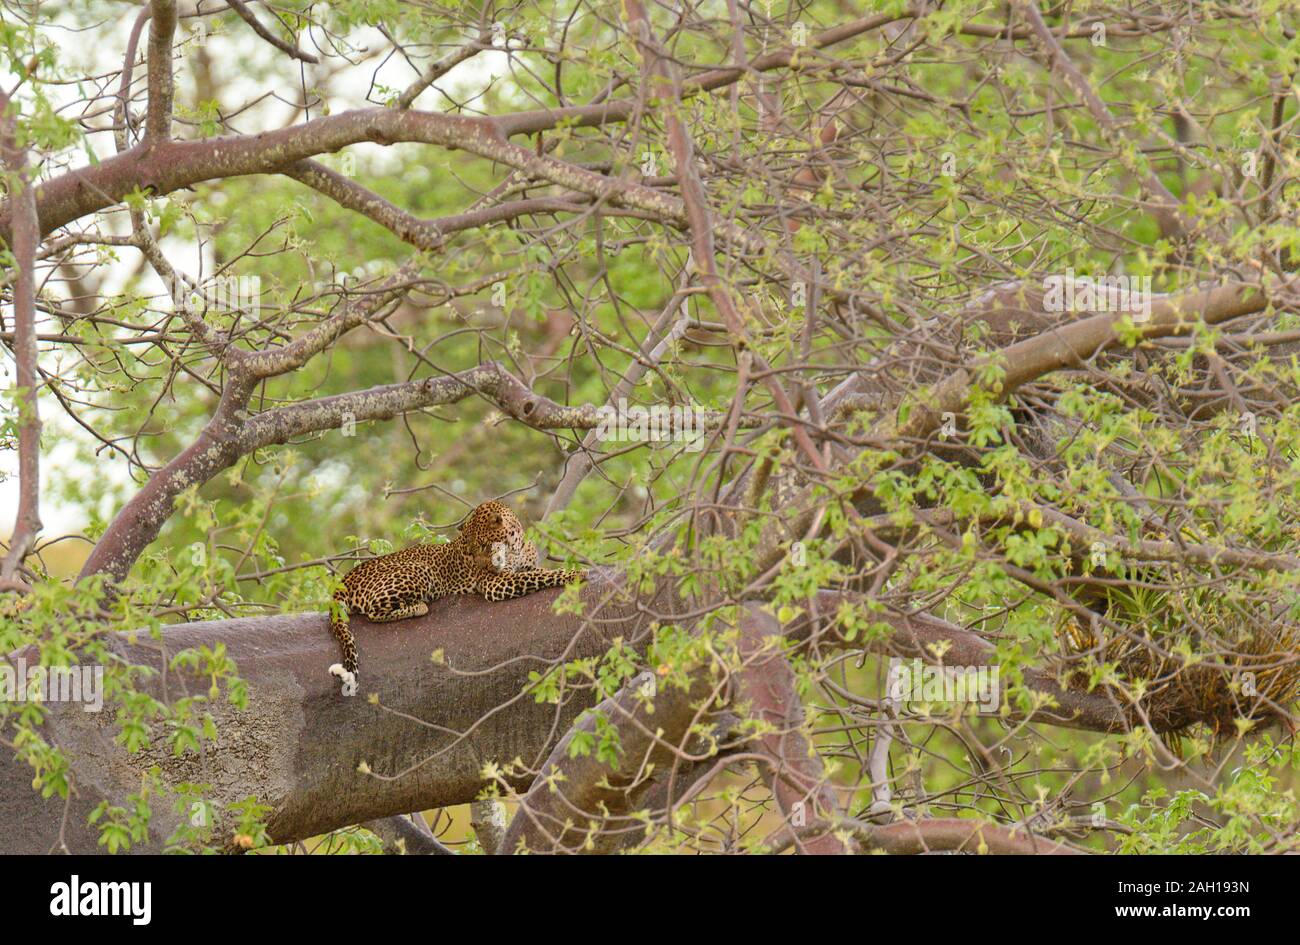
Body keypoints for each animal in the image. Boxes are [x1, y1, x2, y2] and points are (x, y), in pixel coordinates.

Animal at [327, 500, 584, 694]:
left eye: (484, 545)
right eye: (470, 549)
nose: (485, 566)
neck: (516, 547)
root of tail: (345, 579)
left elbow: (537, 572)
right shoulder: (496, 583)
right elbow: (541, 575)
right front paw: (575, 573)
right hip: (419, 571)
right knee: (374, 612)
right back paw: (419, 607)